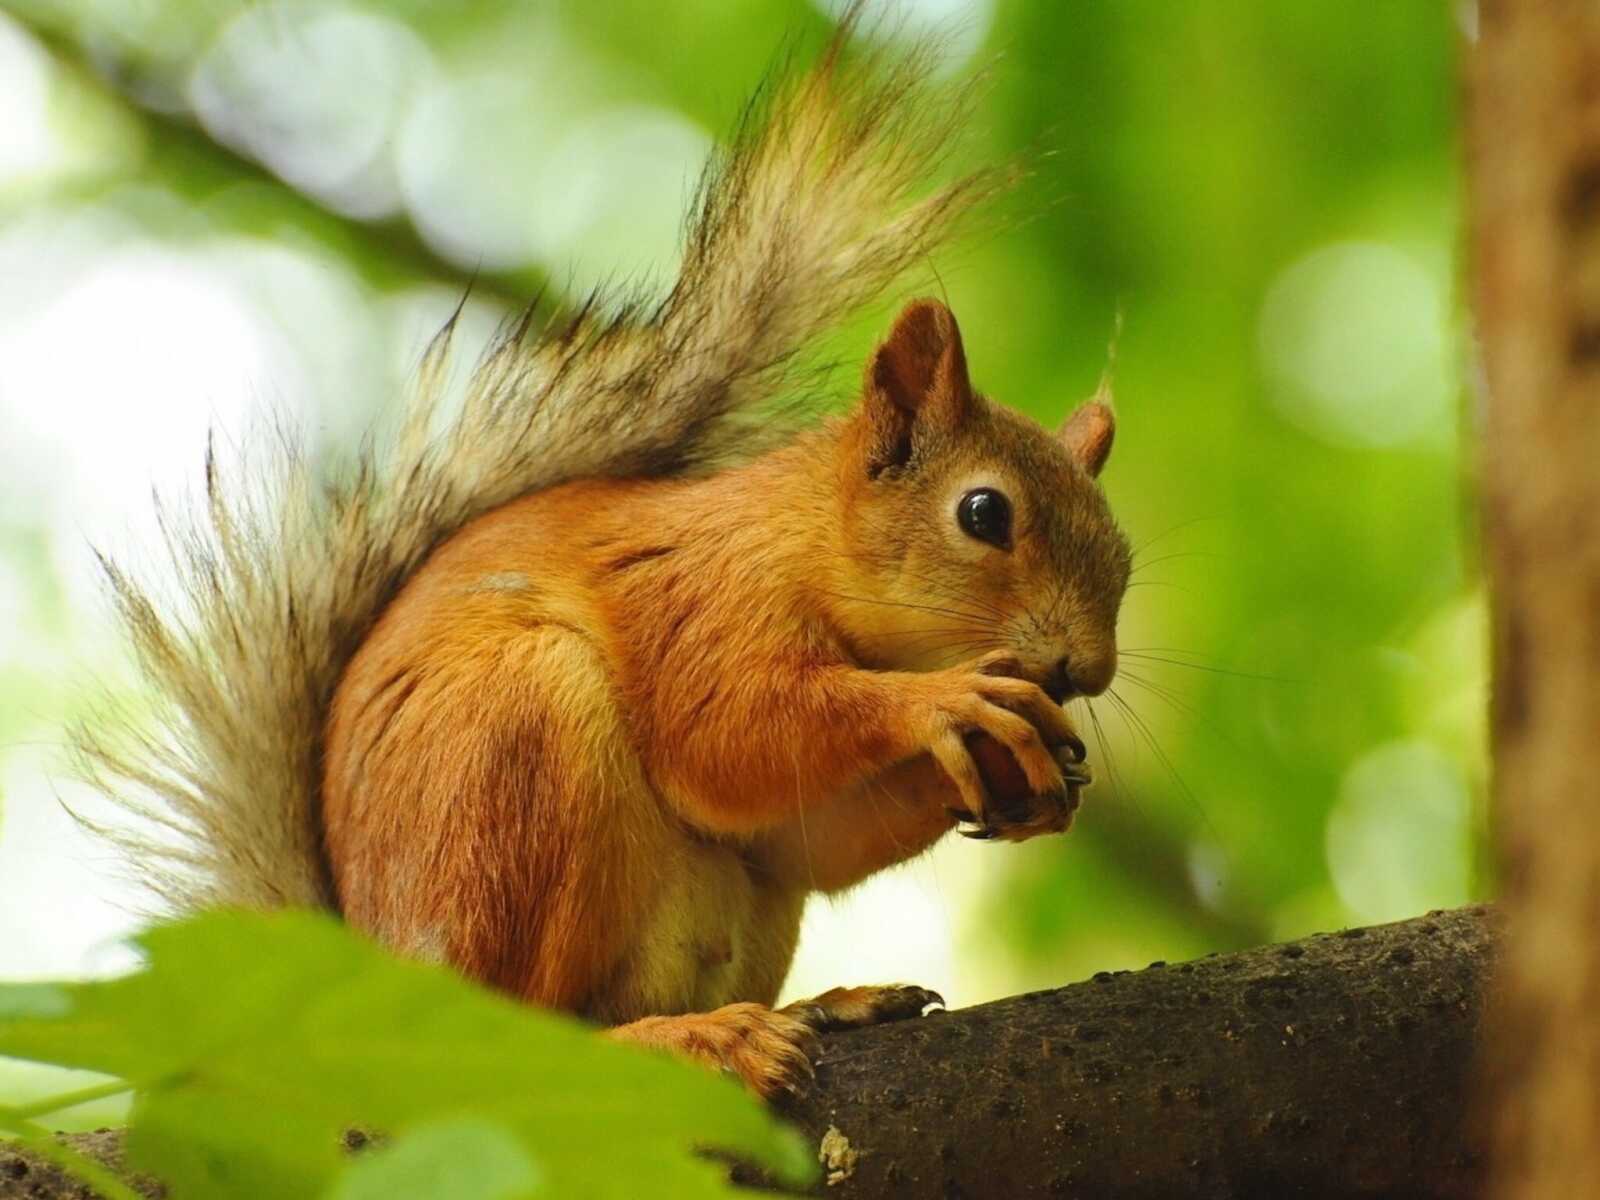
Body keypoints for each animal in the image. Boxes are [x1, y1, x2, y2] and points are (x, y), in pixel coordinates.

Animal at [72, 9, 1130, 1096]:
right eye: (984, 513)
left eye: (1123, 551)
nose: (1086, 669)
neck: (801, 539)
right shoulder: (699, 599)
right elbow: (728, 735)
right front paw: (945, 703)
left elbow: (804, 836)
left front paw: (1031, 773)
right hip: (516, 756)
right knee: (523, 1033)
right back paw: (694, 1038)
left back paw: (821, 1006)